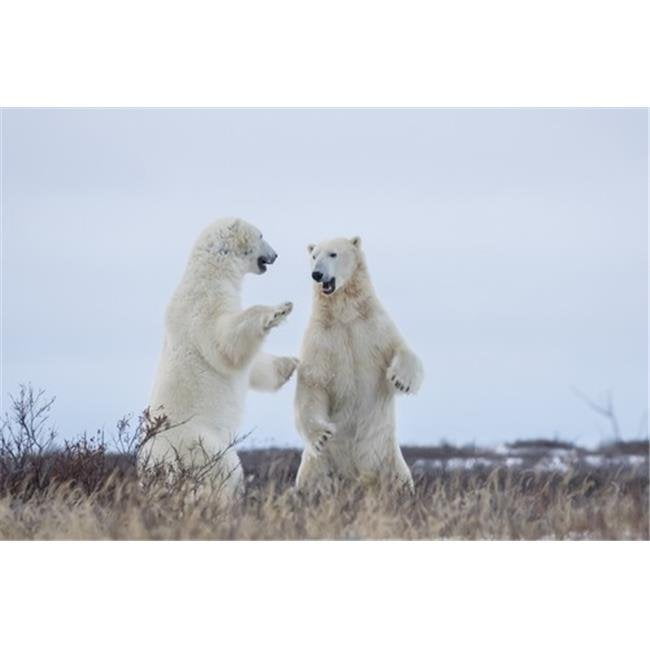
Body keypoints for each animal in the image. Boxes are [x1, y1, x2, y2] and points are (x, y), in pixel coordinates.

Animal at [138, 218, 297, 499]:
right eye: (261, 235)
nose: (276, 255)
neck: (210, 273)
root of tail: (155, 463)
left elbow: (250, 364)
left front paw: (290, 364)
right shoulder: (205, 303)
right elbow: (225, 343)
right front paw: (279, 310)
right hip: (199, 442)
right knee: (224, 467)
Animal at [294, 235, 423, 492]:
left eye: (333, 254)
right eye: (314, 255)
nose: (317, 274)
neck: (344, 314)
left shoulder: (373, 325)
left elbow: (400, 348)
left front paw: (400, 380)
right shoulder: (321, 337)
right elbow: (313, 382)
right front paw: (321, 435)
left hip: (388, 458)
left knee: (400, 482)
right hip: (318, 464)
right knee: (311, 483)